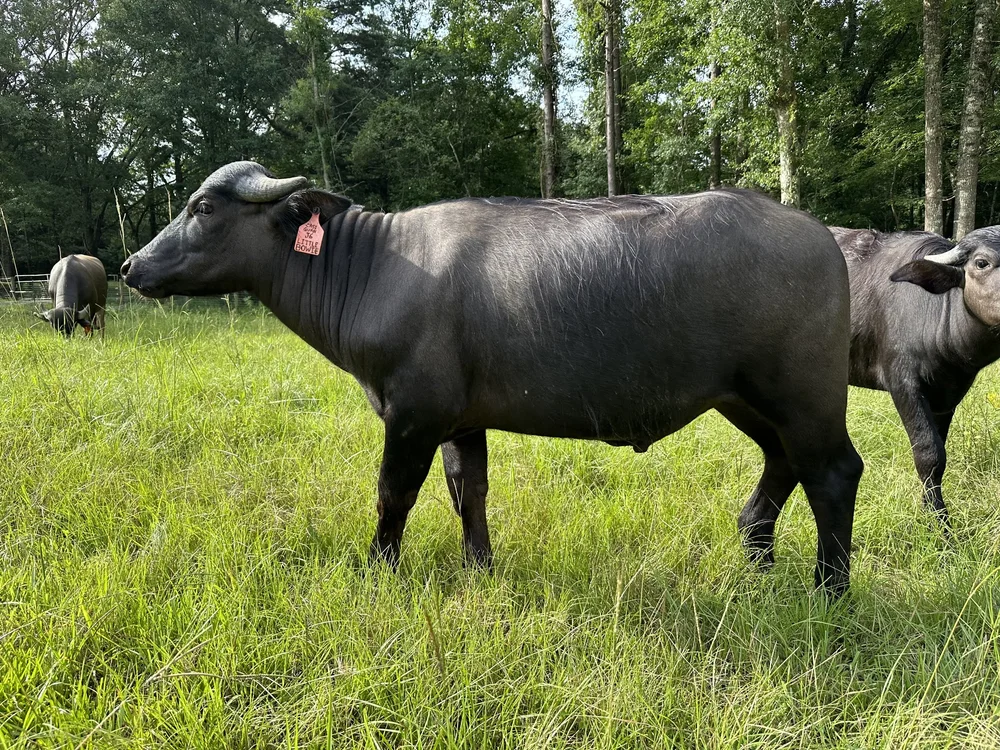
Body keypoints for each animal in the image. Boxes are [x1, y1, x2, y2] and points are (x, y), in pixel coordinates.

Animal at [122, 161, 864, 594]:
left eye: (204, 209)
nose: (131, 266)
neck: (377, 268)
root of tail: (824, 236)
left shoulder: (412, 414)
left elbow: (394, 495)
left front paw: (379, 569)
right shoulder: (461, 419)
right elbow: (468, 493)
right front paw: (479, 567)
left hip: (804, 395)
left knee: (833, 472)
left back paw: (829, 587)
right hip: (747, 399)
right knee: (783, 462)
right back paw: (756, 552)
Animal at [834, 226, 1000, 527]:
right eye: (982, 262)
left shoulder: (948, 395)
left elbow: (940, 452)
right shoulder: (904, 384)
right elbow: (929, 453)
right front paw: (941, 524)